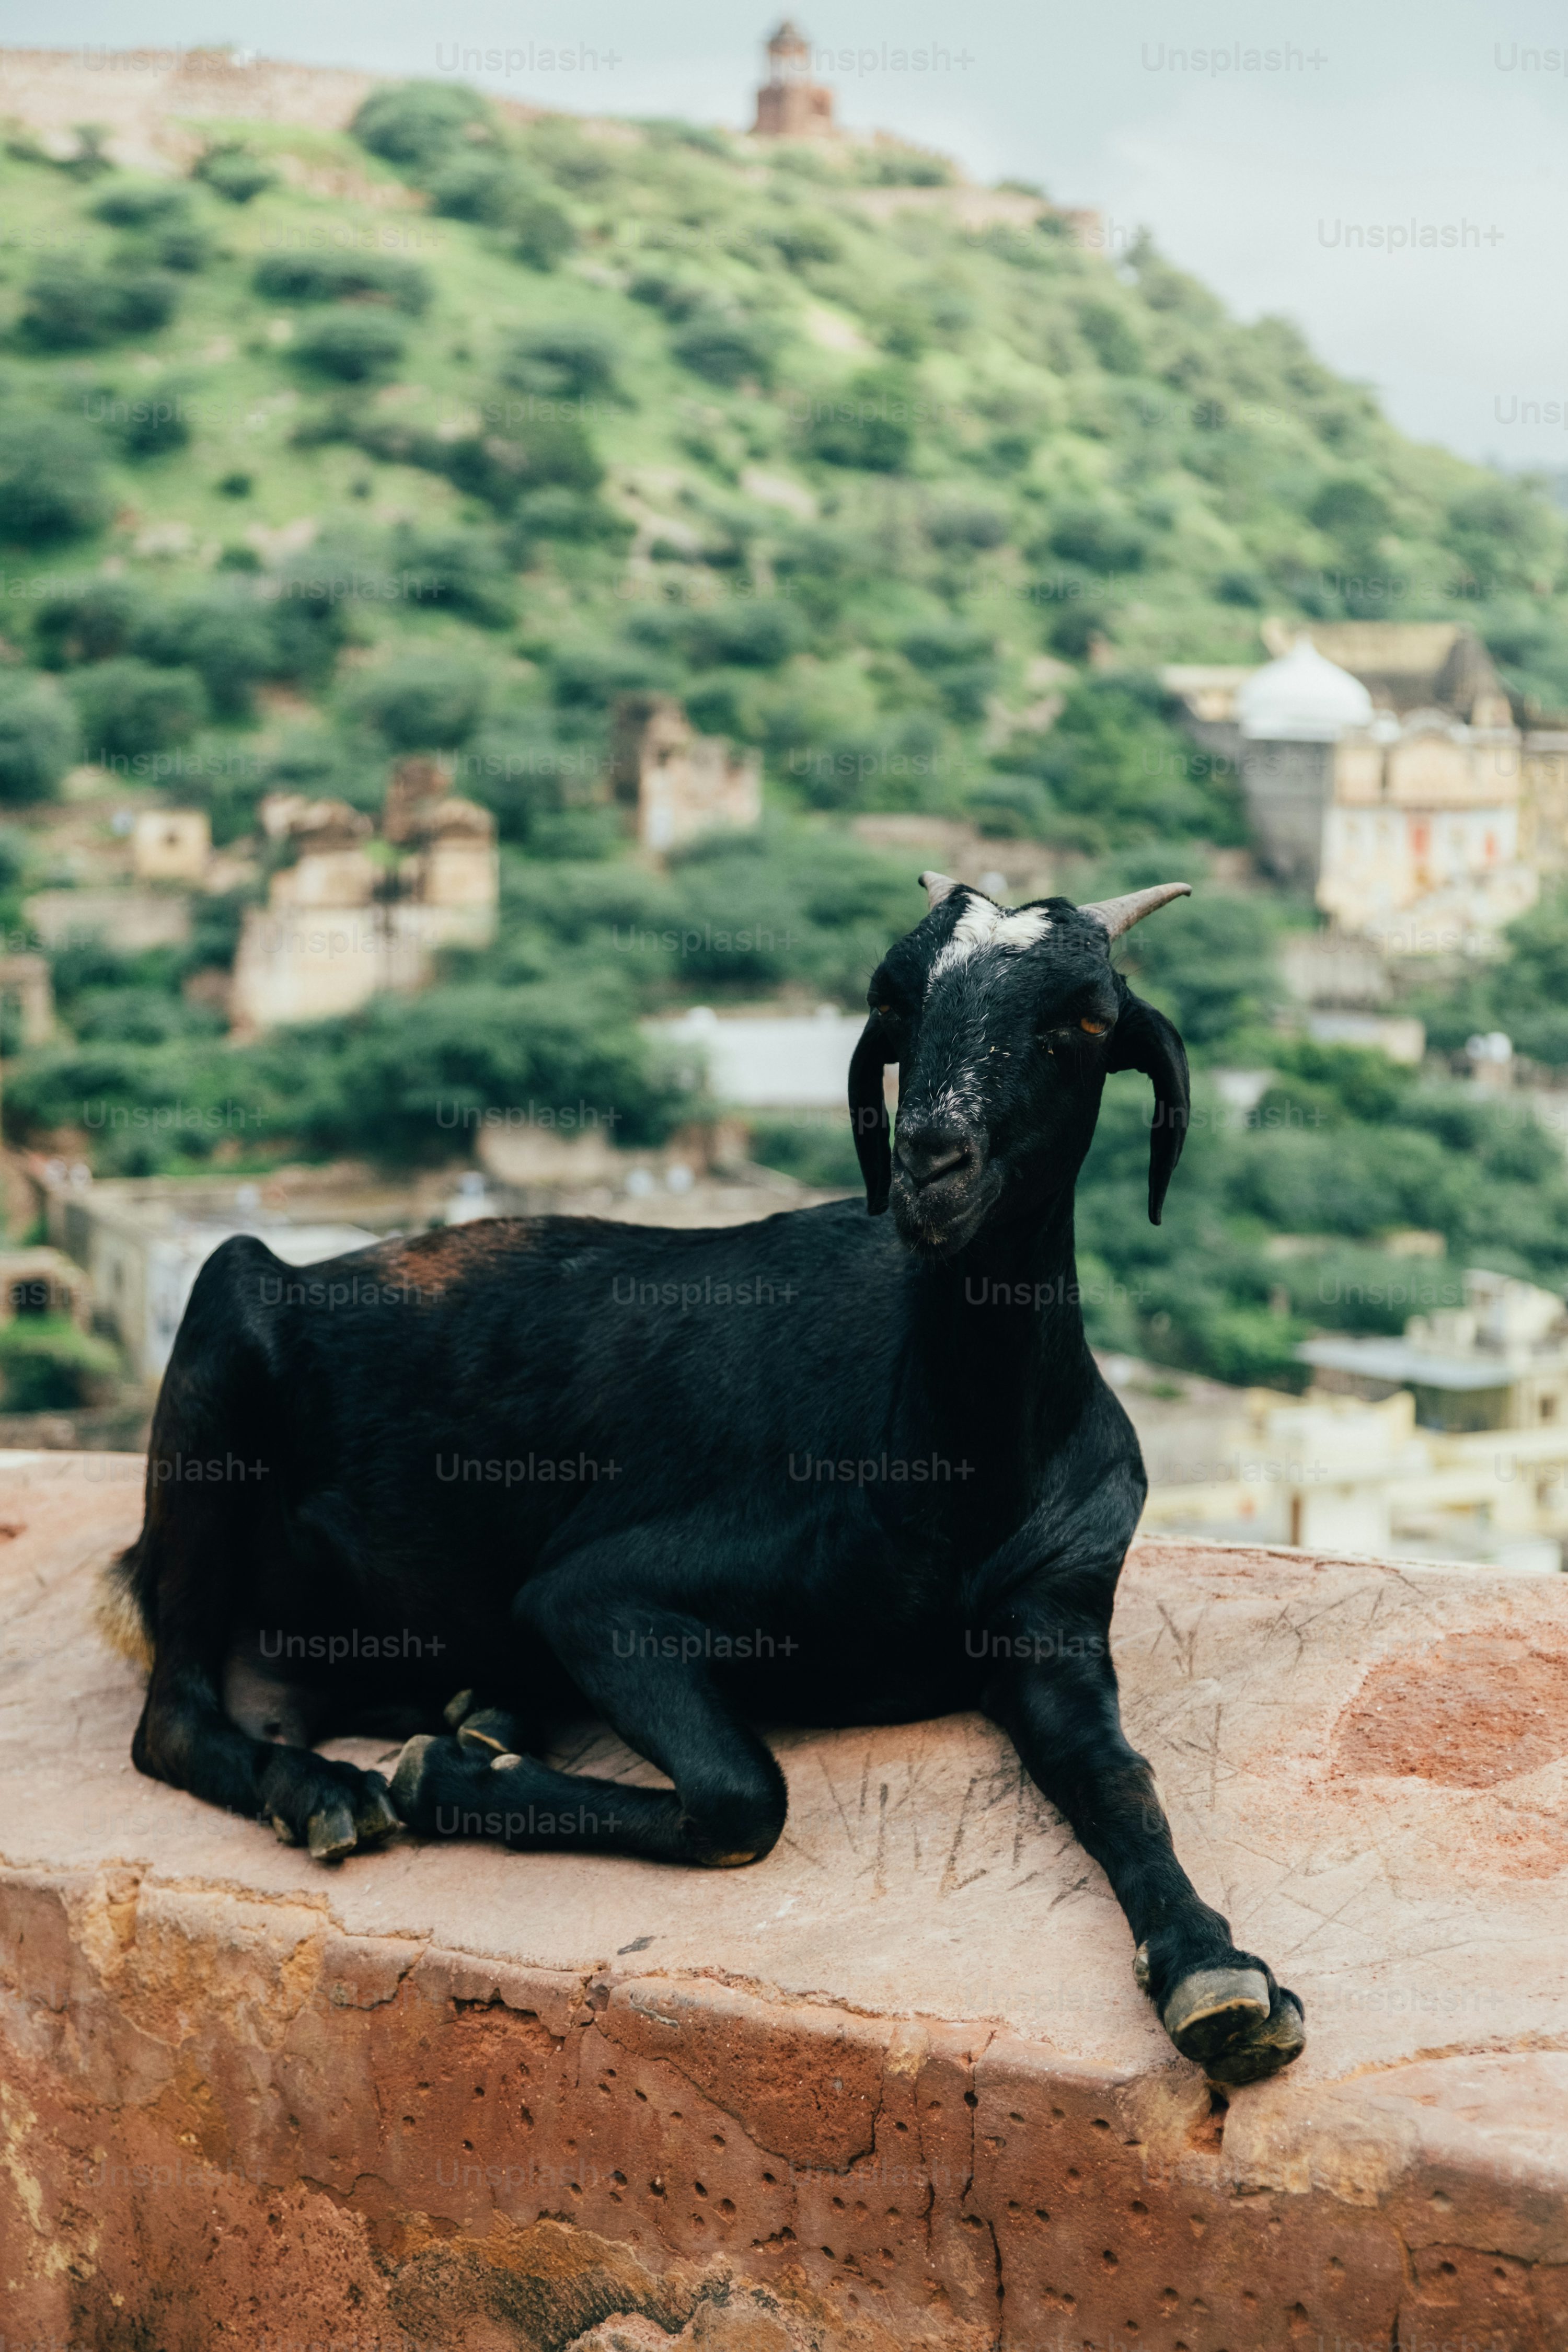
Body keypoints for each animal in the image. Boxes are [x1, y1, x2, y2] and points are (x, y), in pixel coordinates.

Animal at [103, 874, 1304, 2087]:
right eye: (894, 1000)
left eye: (1088, 1020)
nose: (931, 1161)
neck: (956, 1472)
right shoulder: (600, 1593)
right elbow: (740, 1801)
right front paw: (442, 1778)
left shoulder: (1052, 1620)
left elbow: (1120, 1776)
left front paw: (1220, 1975)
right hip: (227, 1327)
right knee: (174, 1720)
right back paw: (330, 1791)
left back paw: (486, 1708)